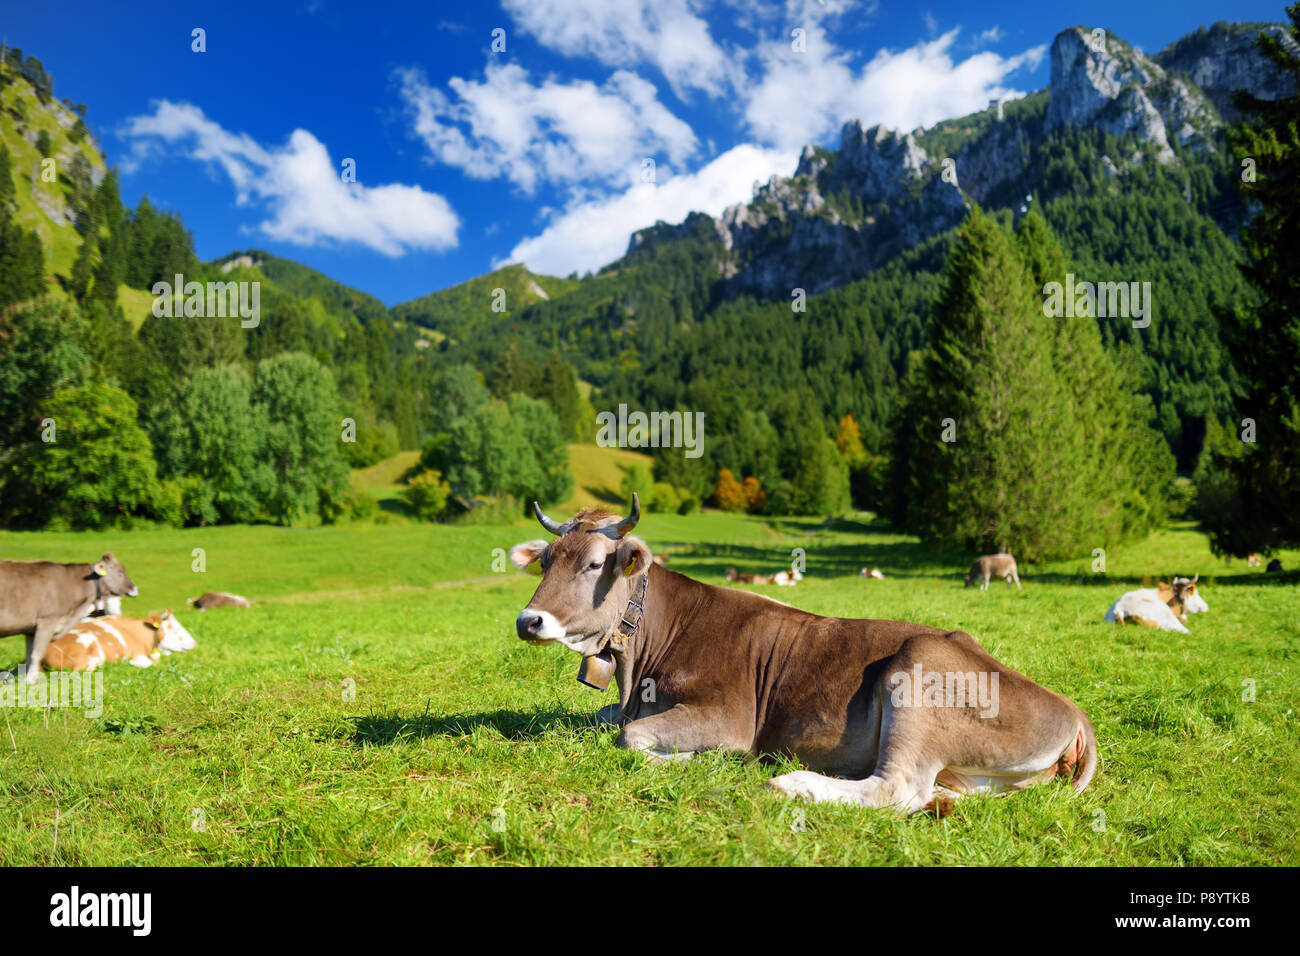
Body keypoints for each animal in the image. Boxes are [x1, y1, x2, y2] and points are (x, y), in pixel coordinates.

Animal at [0, 553, 139, 683]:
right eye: (120, 571)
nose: (135, 589)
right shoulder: (47, 621)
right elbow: (37, 655)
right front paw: (31, 681)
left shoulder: (30, 630)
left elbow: (30, 655)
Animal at [509, 495, 1098, 815]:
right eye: (545, 562)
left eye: (593, 564)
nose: (527, 621)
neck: (641, 671)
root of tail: (1073, 711)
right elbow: (609, 719)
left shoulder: (731, 716)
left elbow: (629, 737)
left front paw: (696, 759)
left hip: (919, 671)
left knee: (897, 786)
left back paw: (791, 782)